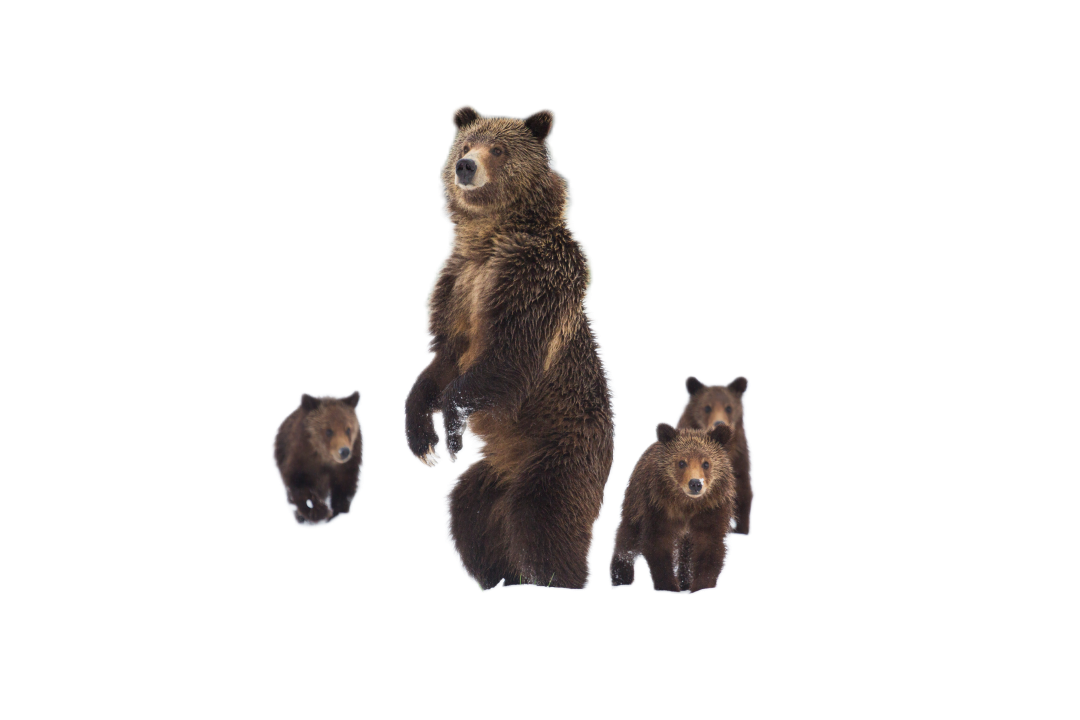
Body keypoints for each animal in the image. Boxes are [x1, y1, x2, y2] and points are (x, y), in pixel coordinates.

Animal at [272, 390, 364, 526]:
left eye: (348, 429)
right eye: (328, 430)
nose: (344, 451)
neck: (323, 458)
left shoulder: (346, 467)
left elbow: (344, 488)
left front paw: (337, 512)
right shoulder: (300, 459)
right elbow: (298, 485)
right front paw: (318, 510)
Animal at [403, 104, 615, 590]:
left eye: (498, 149)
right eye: (466, 144)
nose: (465, 166)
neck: (491, 238)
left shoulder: (530, 282)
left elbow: (507, 355)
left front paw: (452, 425)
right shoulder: (457, 285)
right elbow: (442, 359)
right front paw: (424, 439)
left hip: (560, 449)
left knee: (543, 518)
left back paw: (559, 577)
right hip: (496, 470)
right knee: (469, 511)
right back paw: (499, 576)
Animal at [609, 422, 736, 593]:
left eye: (706, 463)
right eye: (682, 462)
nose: (695, 483)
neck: (687, 505)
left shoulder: (711, 510)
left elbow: (709, 546)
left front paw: (702, 586)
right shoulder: (659, 508)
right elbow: (658, 544)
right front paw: (667, 586)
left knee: (686, 551)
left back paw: (685, 581)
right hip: (635, 499)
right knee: (628, 536)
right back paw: (620, 575)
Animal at [675, 375, 753, 535]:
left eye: (728, 407)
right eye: (707, 407)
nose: (719, 423)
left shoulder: (739, 458)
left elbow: (742, 487)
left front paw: (742, 528)